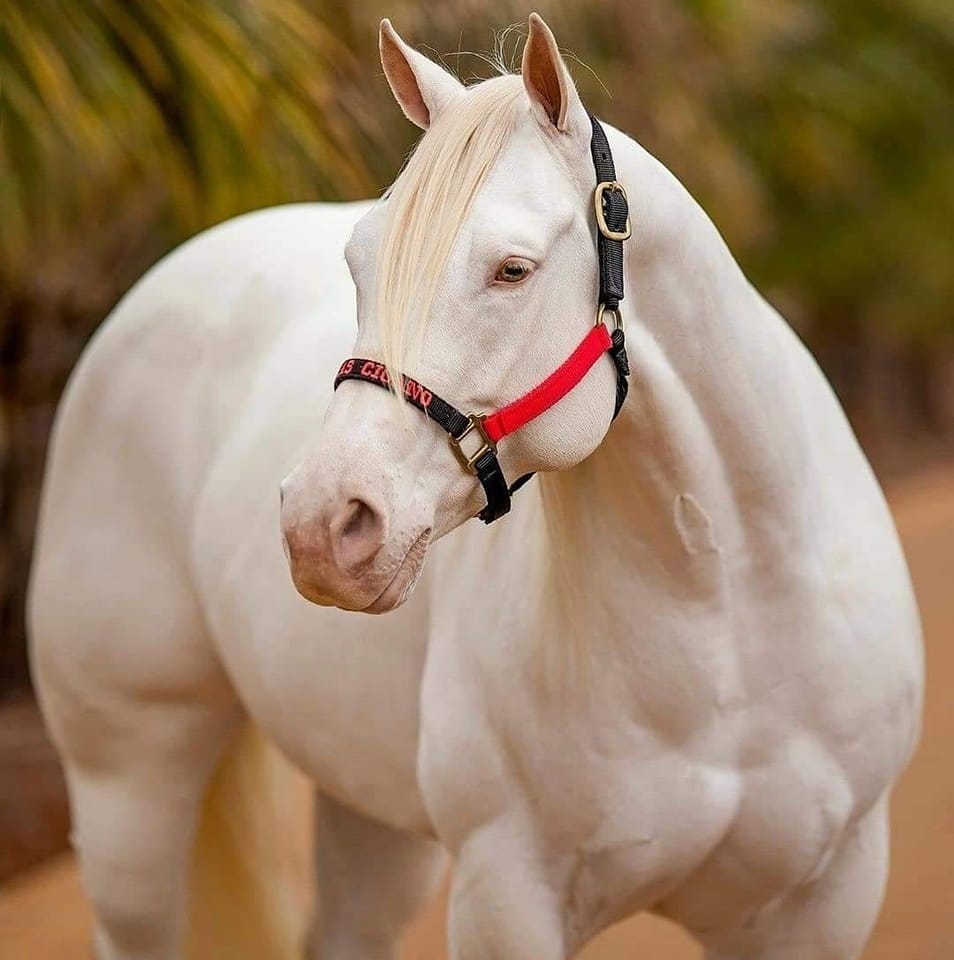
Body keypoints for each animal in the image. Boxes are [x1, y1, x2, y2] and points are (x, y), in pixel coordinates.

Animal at [29, 12, 923, 960]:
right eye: (358, 259)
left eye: (513, 270)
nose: (323, 525)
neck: (724, 626)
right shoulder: (506, 896)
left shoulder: (820, 898)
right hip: (129, 784)